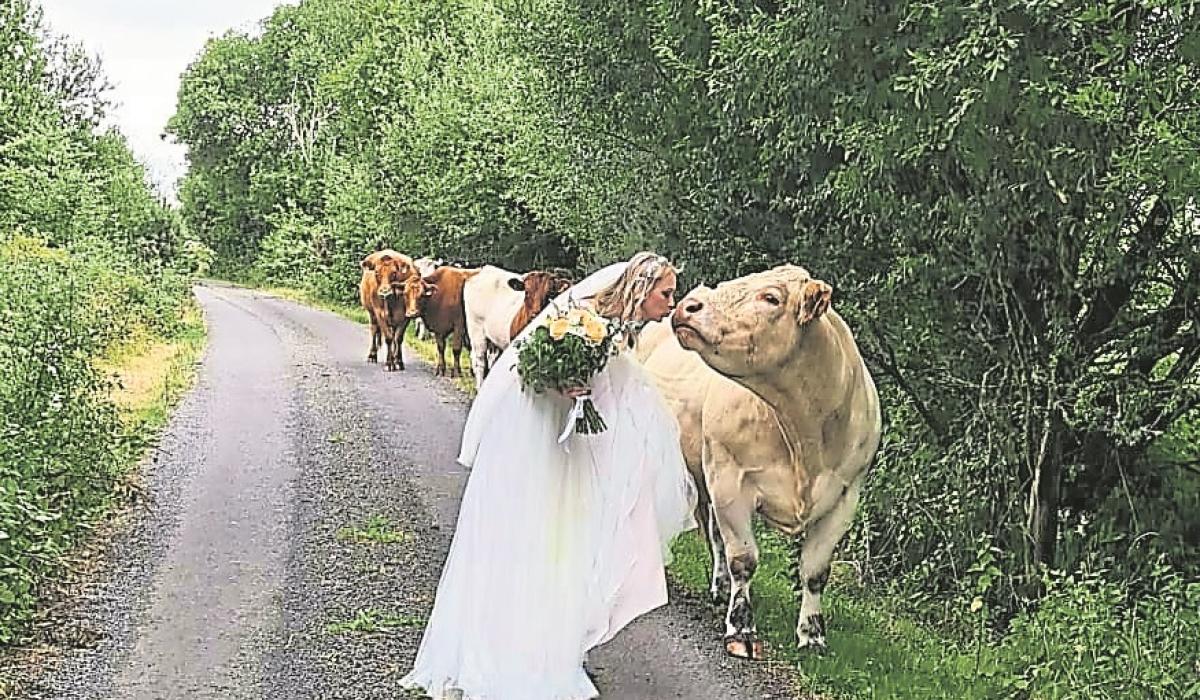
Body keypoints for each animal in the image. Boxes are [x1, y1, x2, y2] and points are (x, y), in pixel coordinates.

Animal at [639, 264, 882, 660]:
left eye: (770, 297)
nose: (688, 305)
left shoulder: (845, 498)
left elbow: (815, 571)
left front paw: (812, 635)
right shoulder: (730, 482)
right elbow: (744, 560)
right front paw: (741, 628)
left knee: (714, 534)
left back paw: (720, 586)